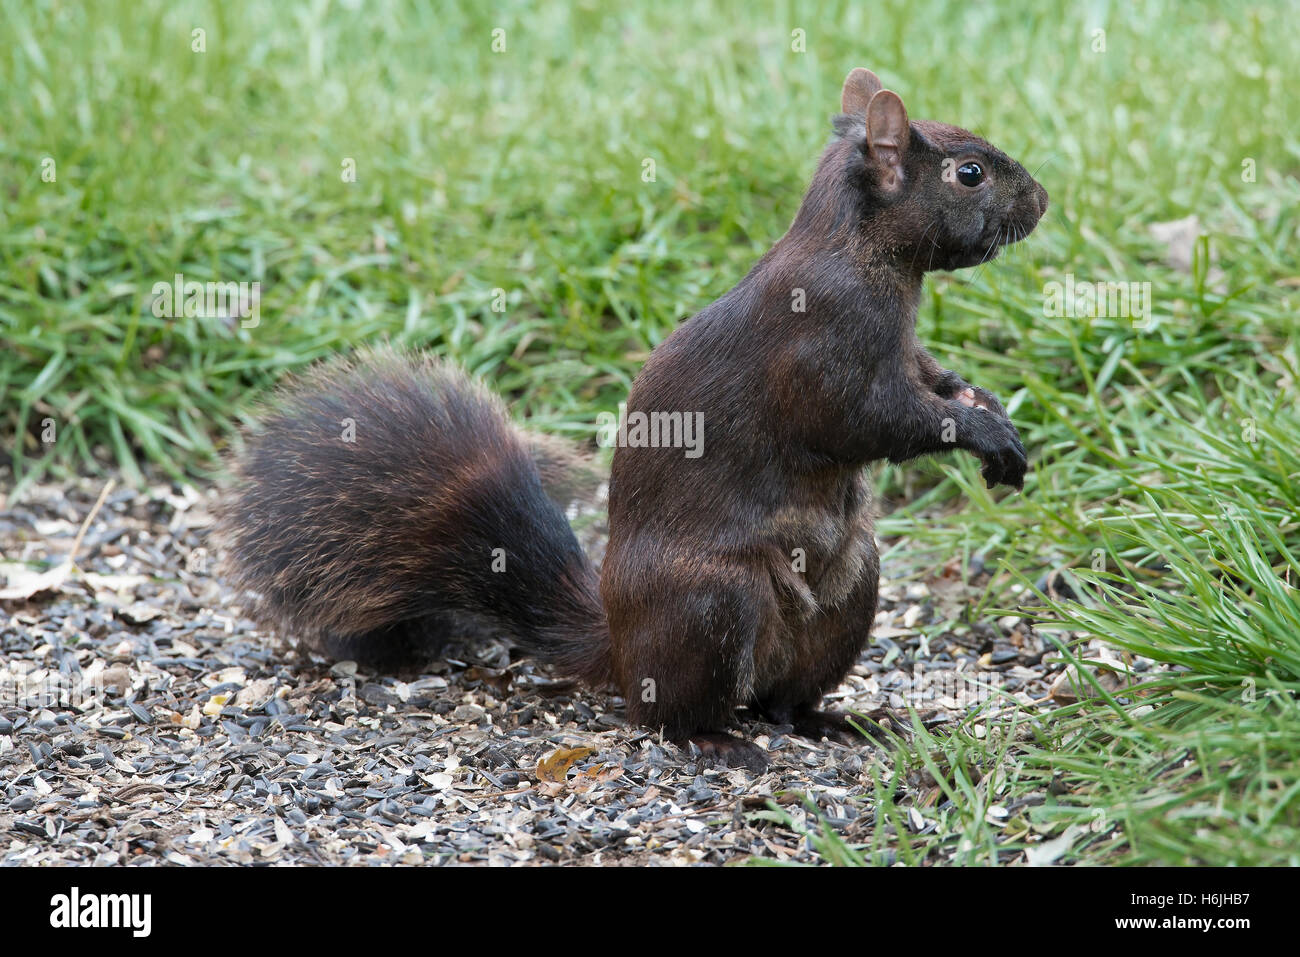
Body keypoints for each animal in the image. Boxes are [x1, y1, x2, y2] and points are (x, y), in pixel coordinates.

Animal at [216, 68, 1048, 772]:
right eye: (969, 172)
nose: (1041, 201)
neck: (870, 258)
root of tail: (617, 647)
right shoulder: (822, 349)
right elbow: (870, 421)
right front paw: (982, 433)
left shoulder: (909, 353)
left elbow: (936, 381)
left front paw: (990, 411)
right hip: (714, 603)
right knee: (671, 713)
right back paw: (718, 740)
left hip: (850, 590)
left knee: (783, 702)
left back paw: (839, 719)